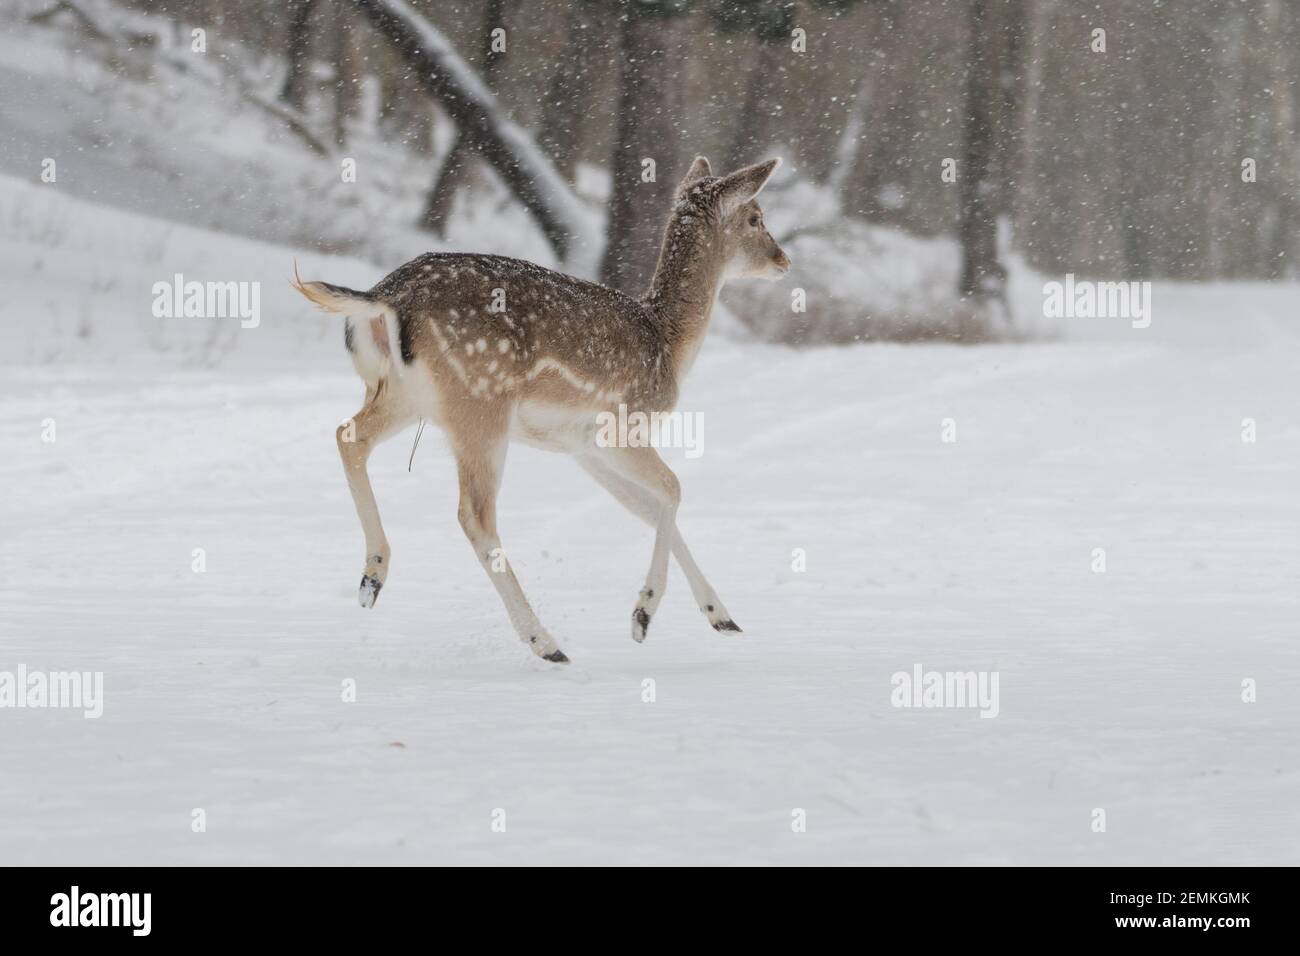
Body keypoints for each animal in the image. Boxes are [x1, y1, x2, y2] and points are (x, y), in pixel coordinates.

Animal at [293, 156, 790, 664]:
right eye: (756, 218)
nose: (783, 260)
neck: (668, 345)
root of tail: (386, 297)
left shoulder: (584, 449)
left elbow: (647, 509)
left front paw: (722, 617)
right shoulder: (622, 425)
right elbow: (673, 490)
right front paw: (642, 615)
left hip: (401, 395)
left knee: (348, 436)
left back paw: (372, 577)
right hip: (480, 404)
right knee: (474, 515)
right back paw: (544, 642)